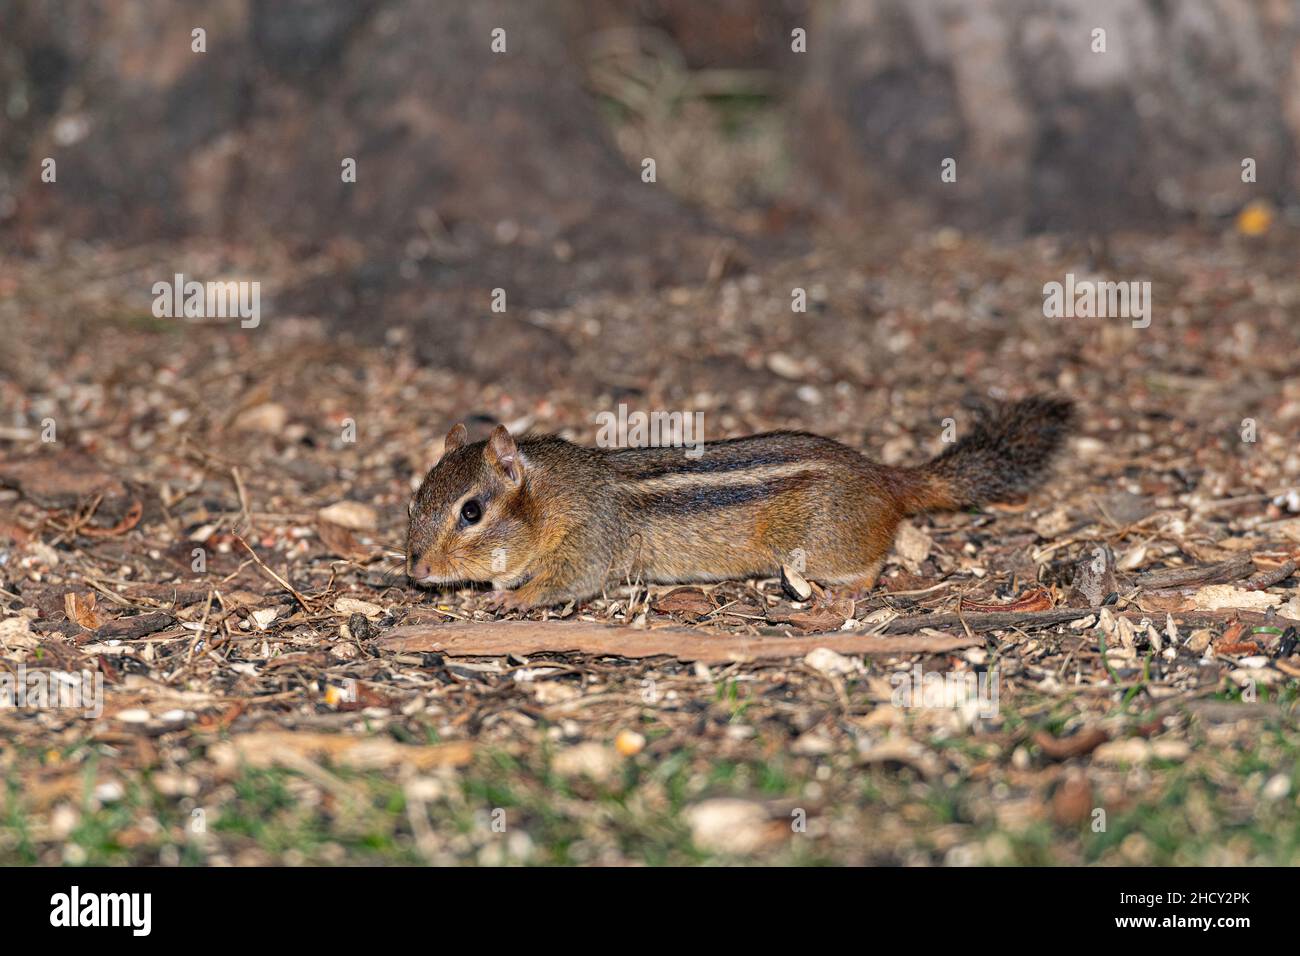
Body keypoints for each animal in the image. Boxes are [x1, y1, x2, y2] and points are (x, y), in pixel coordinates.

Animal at [405, 396, 1075, 611]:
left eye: (471, 512)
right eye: (415, 502)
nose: (415, 570)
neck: (552, 495)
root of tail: (884, 478)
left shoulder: (589, 541)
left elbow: (565, 582)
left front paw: (511, 597)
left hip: (824, 548)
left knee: (869, 567)